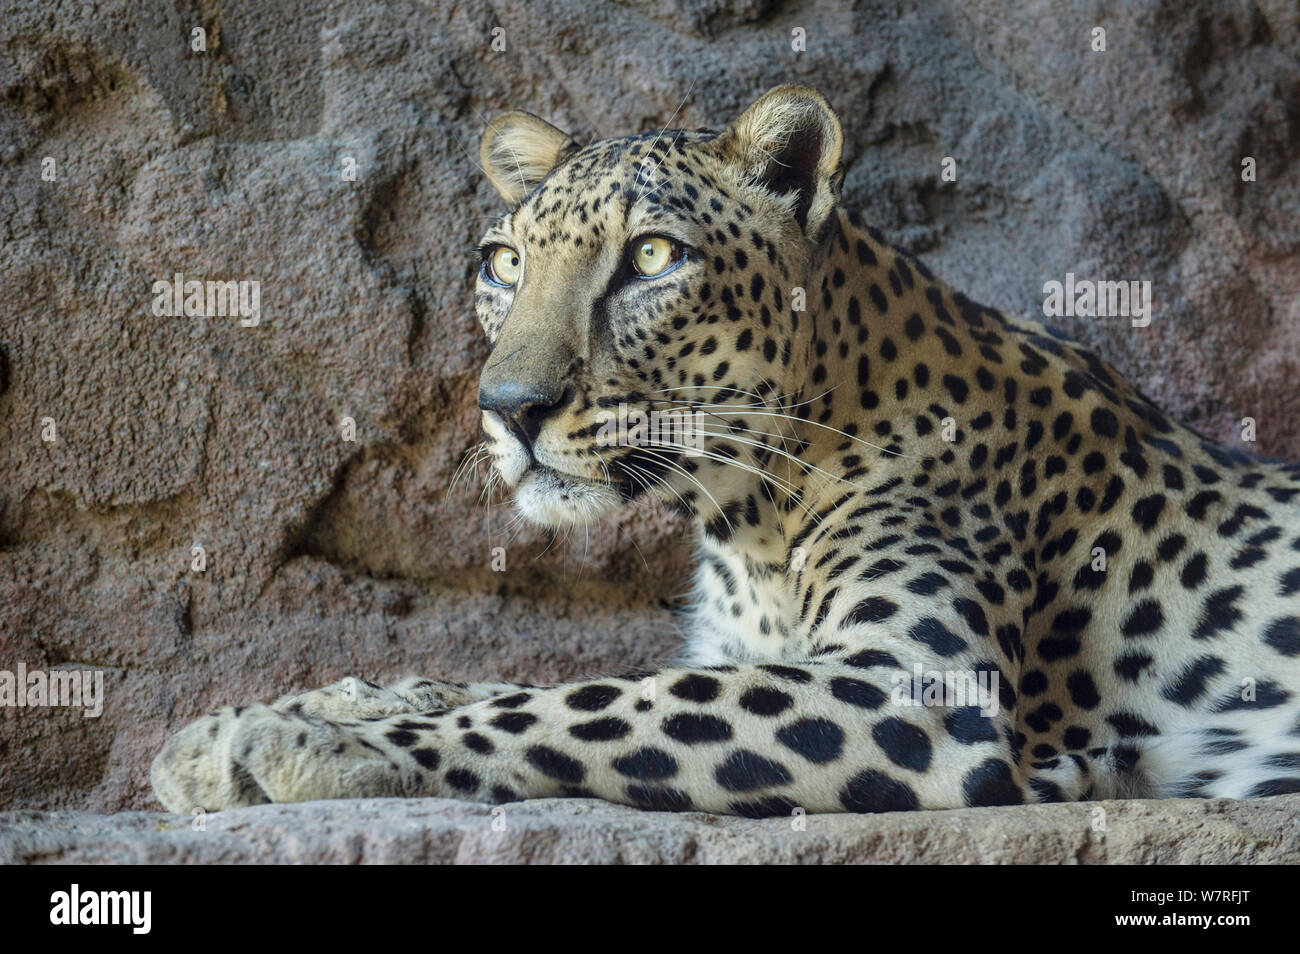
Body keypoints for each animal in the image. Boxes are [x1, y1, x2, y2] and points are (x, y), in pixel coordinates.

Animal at [153, 85, 1300, 816]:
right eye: (503, 263)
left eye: (652, 256)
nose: (508, 407)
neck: (744, 516)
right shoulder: (746, 650)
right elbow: (497, 680)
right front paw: (308, 703)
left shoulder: (914, 690)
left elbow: (591, 701)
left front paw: (299, 741)